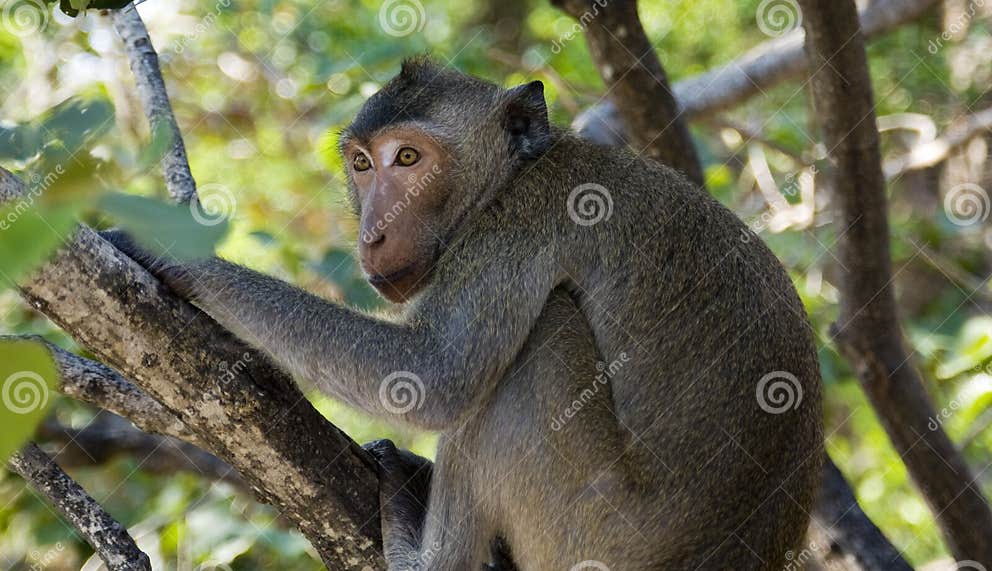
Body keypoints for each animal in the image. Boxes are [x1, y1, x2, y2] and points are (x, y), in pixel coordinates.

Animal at [103, 57, 823, 570]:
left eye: (409, 158)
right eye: (361, 163)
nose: (374, 233)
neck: (513, 174)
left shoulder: (514, 230)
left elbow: (432, 376)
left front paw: (180, 256)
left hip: (594, 531)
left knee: (528, 350)